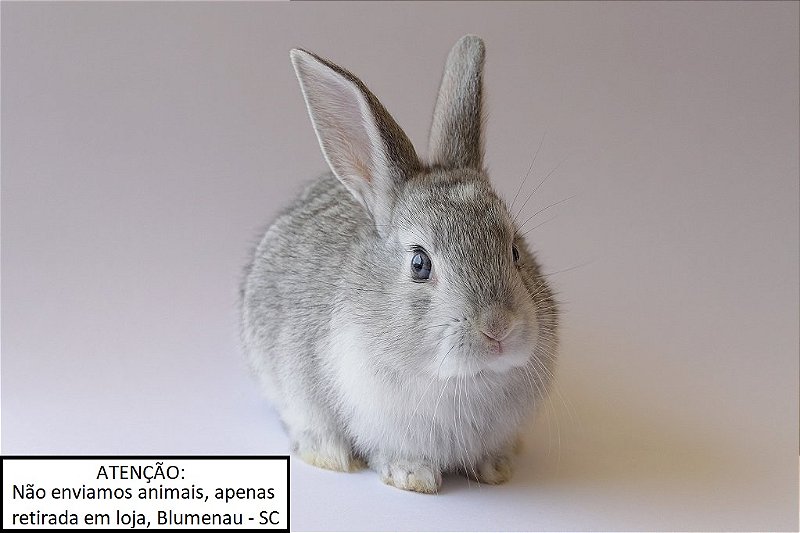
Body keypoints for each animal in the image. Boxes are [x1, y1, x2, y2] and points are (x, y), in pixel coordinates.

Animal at [240, 35, 558, 494]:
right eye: (420, 264)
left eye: (515, 251)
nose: (498, 326)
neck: (464, 379)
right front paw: (414, 477)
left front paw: (496, 468)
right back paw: (330, 455)